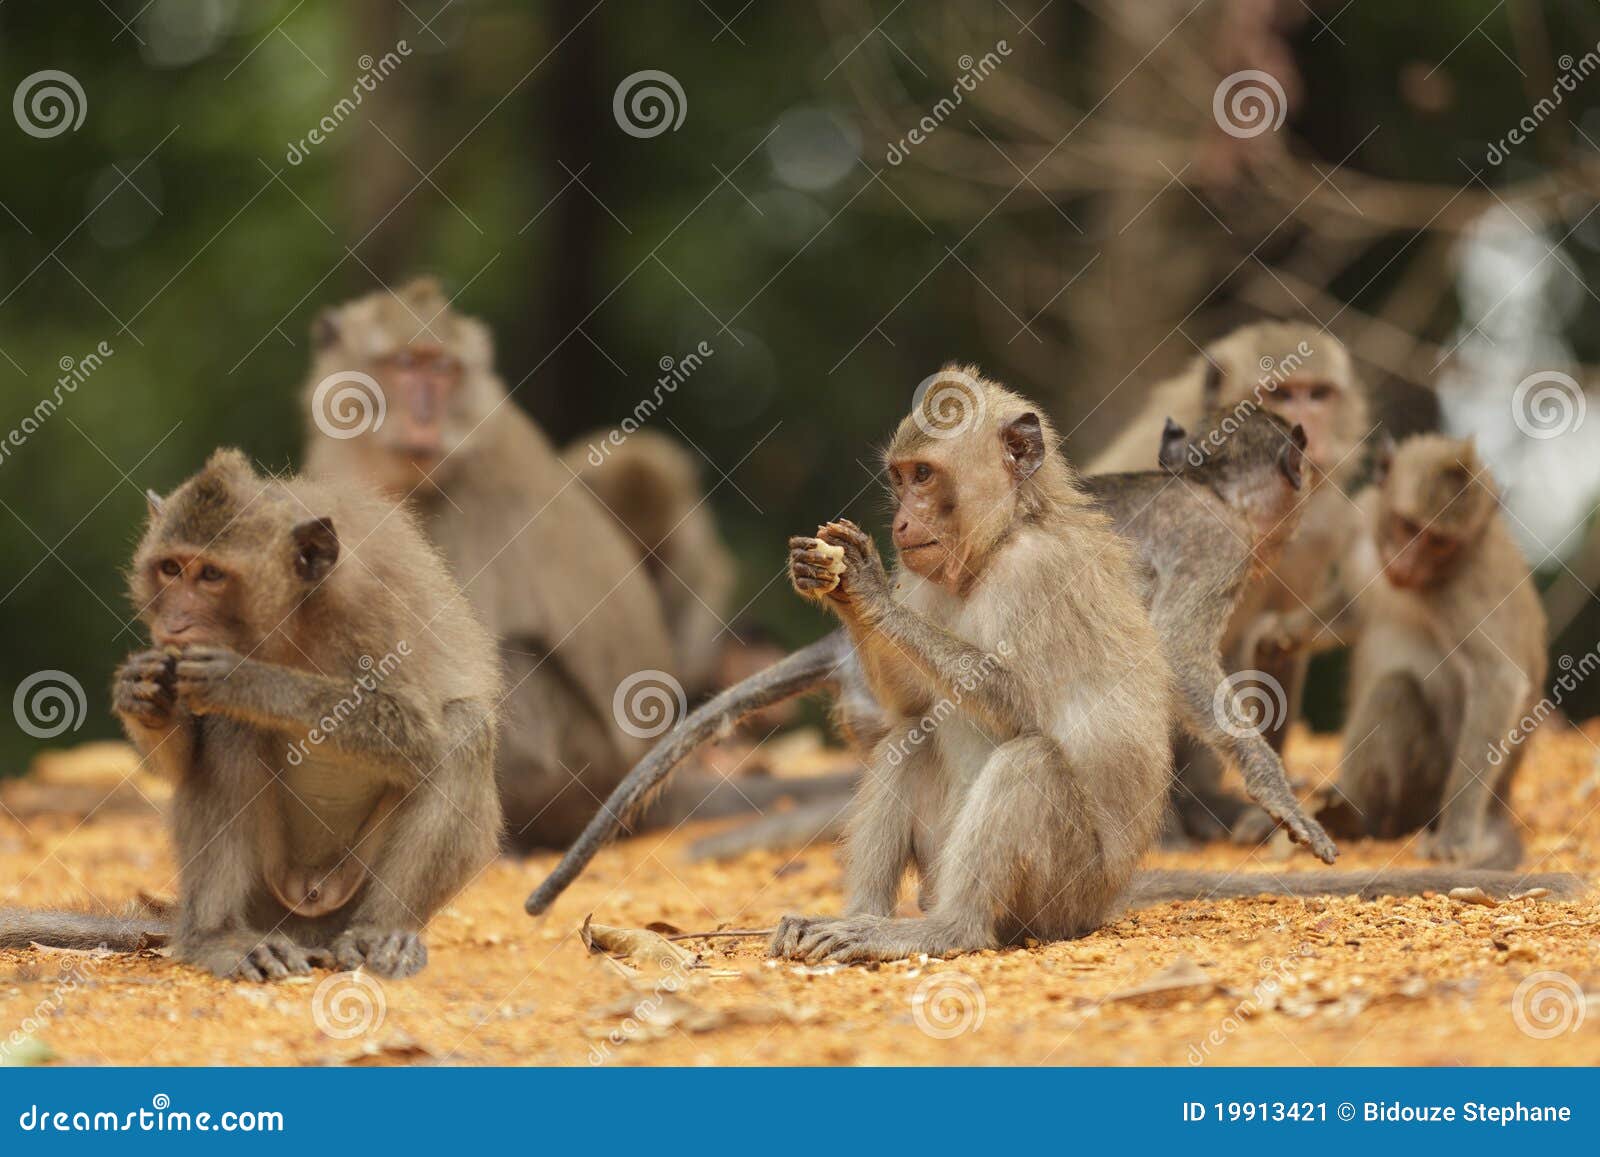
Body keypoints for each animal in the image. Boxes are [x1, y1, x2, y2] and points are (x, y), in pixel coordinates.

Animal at [1, 449, 502, 979]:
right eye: (171, 568)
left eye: (211, 575)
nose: (175, 623)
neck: (291, 616)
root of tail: (307, 921)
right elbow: (184, 759)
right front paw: (142, 695)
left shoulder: (377, 606)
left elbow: (417, 734)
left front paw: (242, 679)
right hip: (265, 895)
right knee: (230, 732)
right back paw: (219, 938)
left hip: (348, 891)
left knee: (464, 730)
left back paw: (380, 931)